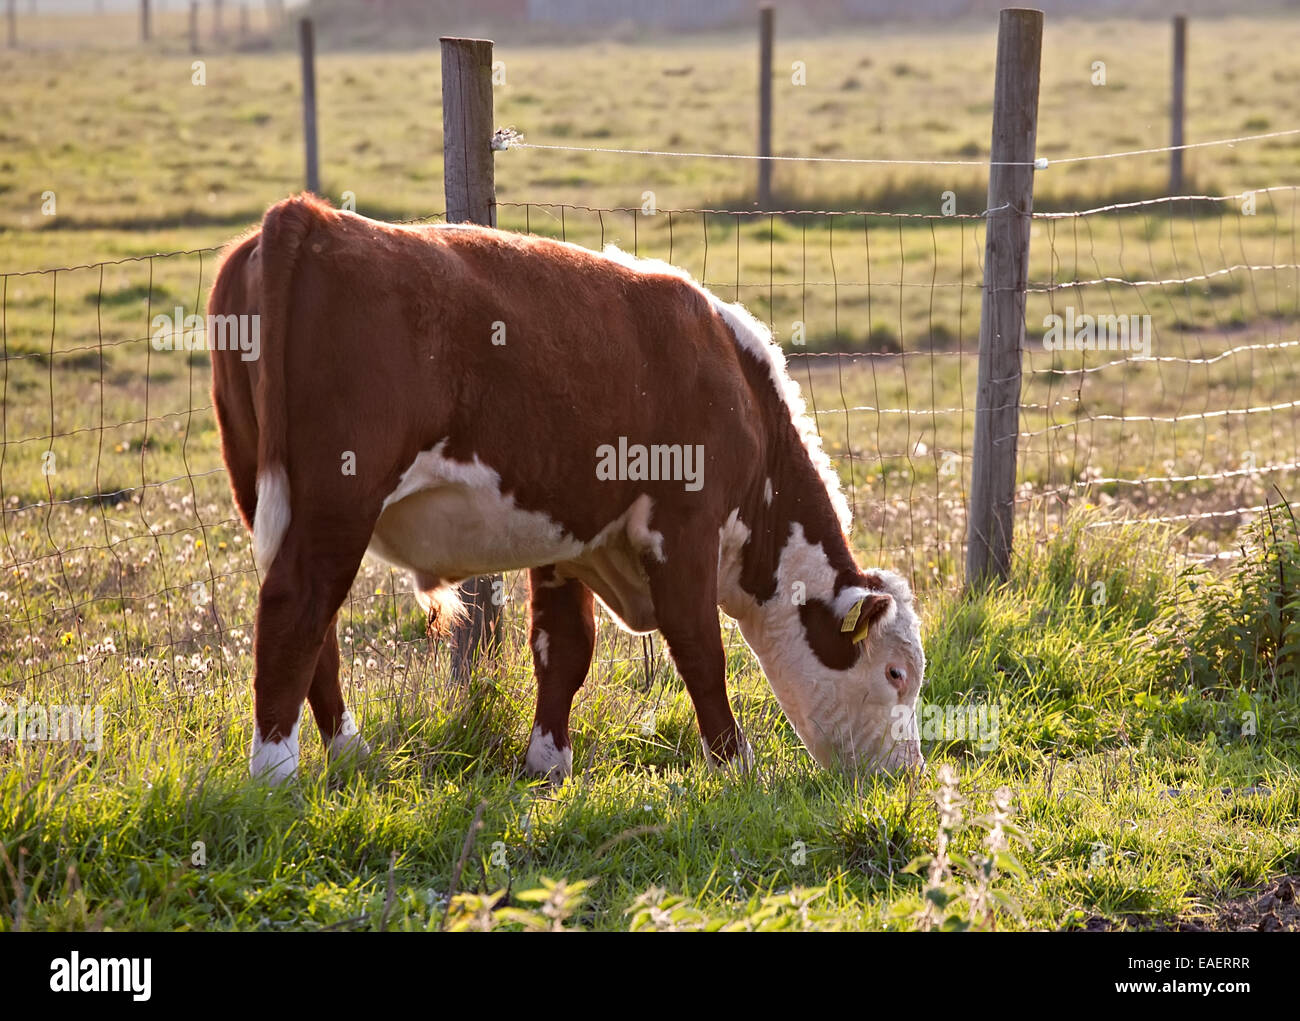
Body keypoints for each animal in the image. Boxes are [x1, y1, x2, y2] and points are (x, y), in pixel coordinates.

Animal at [207, 194, 925, 784]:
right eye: (895, 673)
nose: (909, 772)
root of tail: (314, 218)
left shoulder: (569, 534)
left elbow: (564, 648)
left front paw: (547, 762)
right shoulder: (683, 523)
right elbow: (700, 647)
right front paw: (736, 763)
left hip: (272, 500)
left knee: (318, 632)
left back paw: (351, 755)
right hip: (339, 502)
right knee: (297, 611)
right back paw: (276, 774)